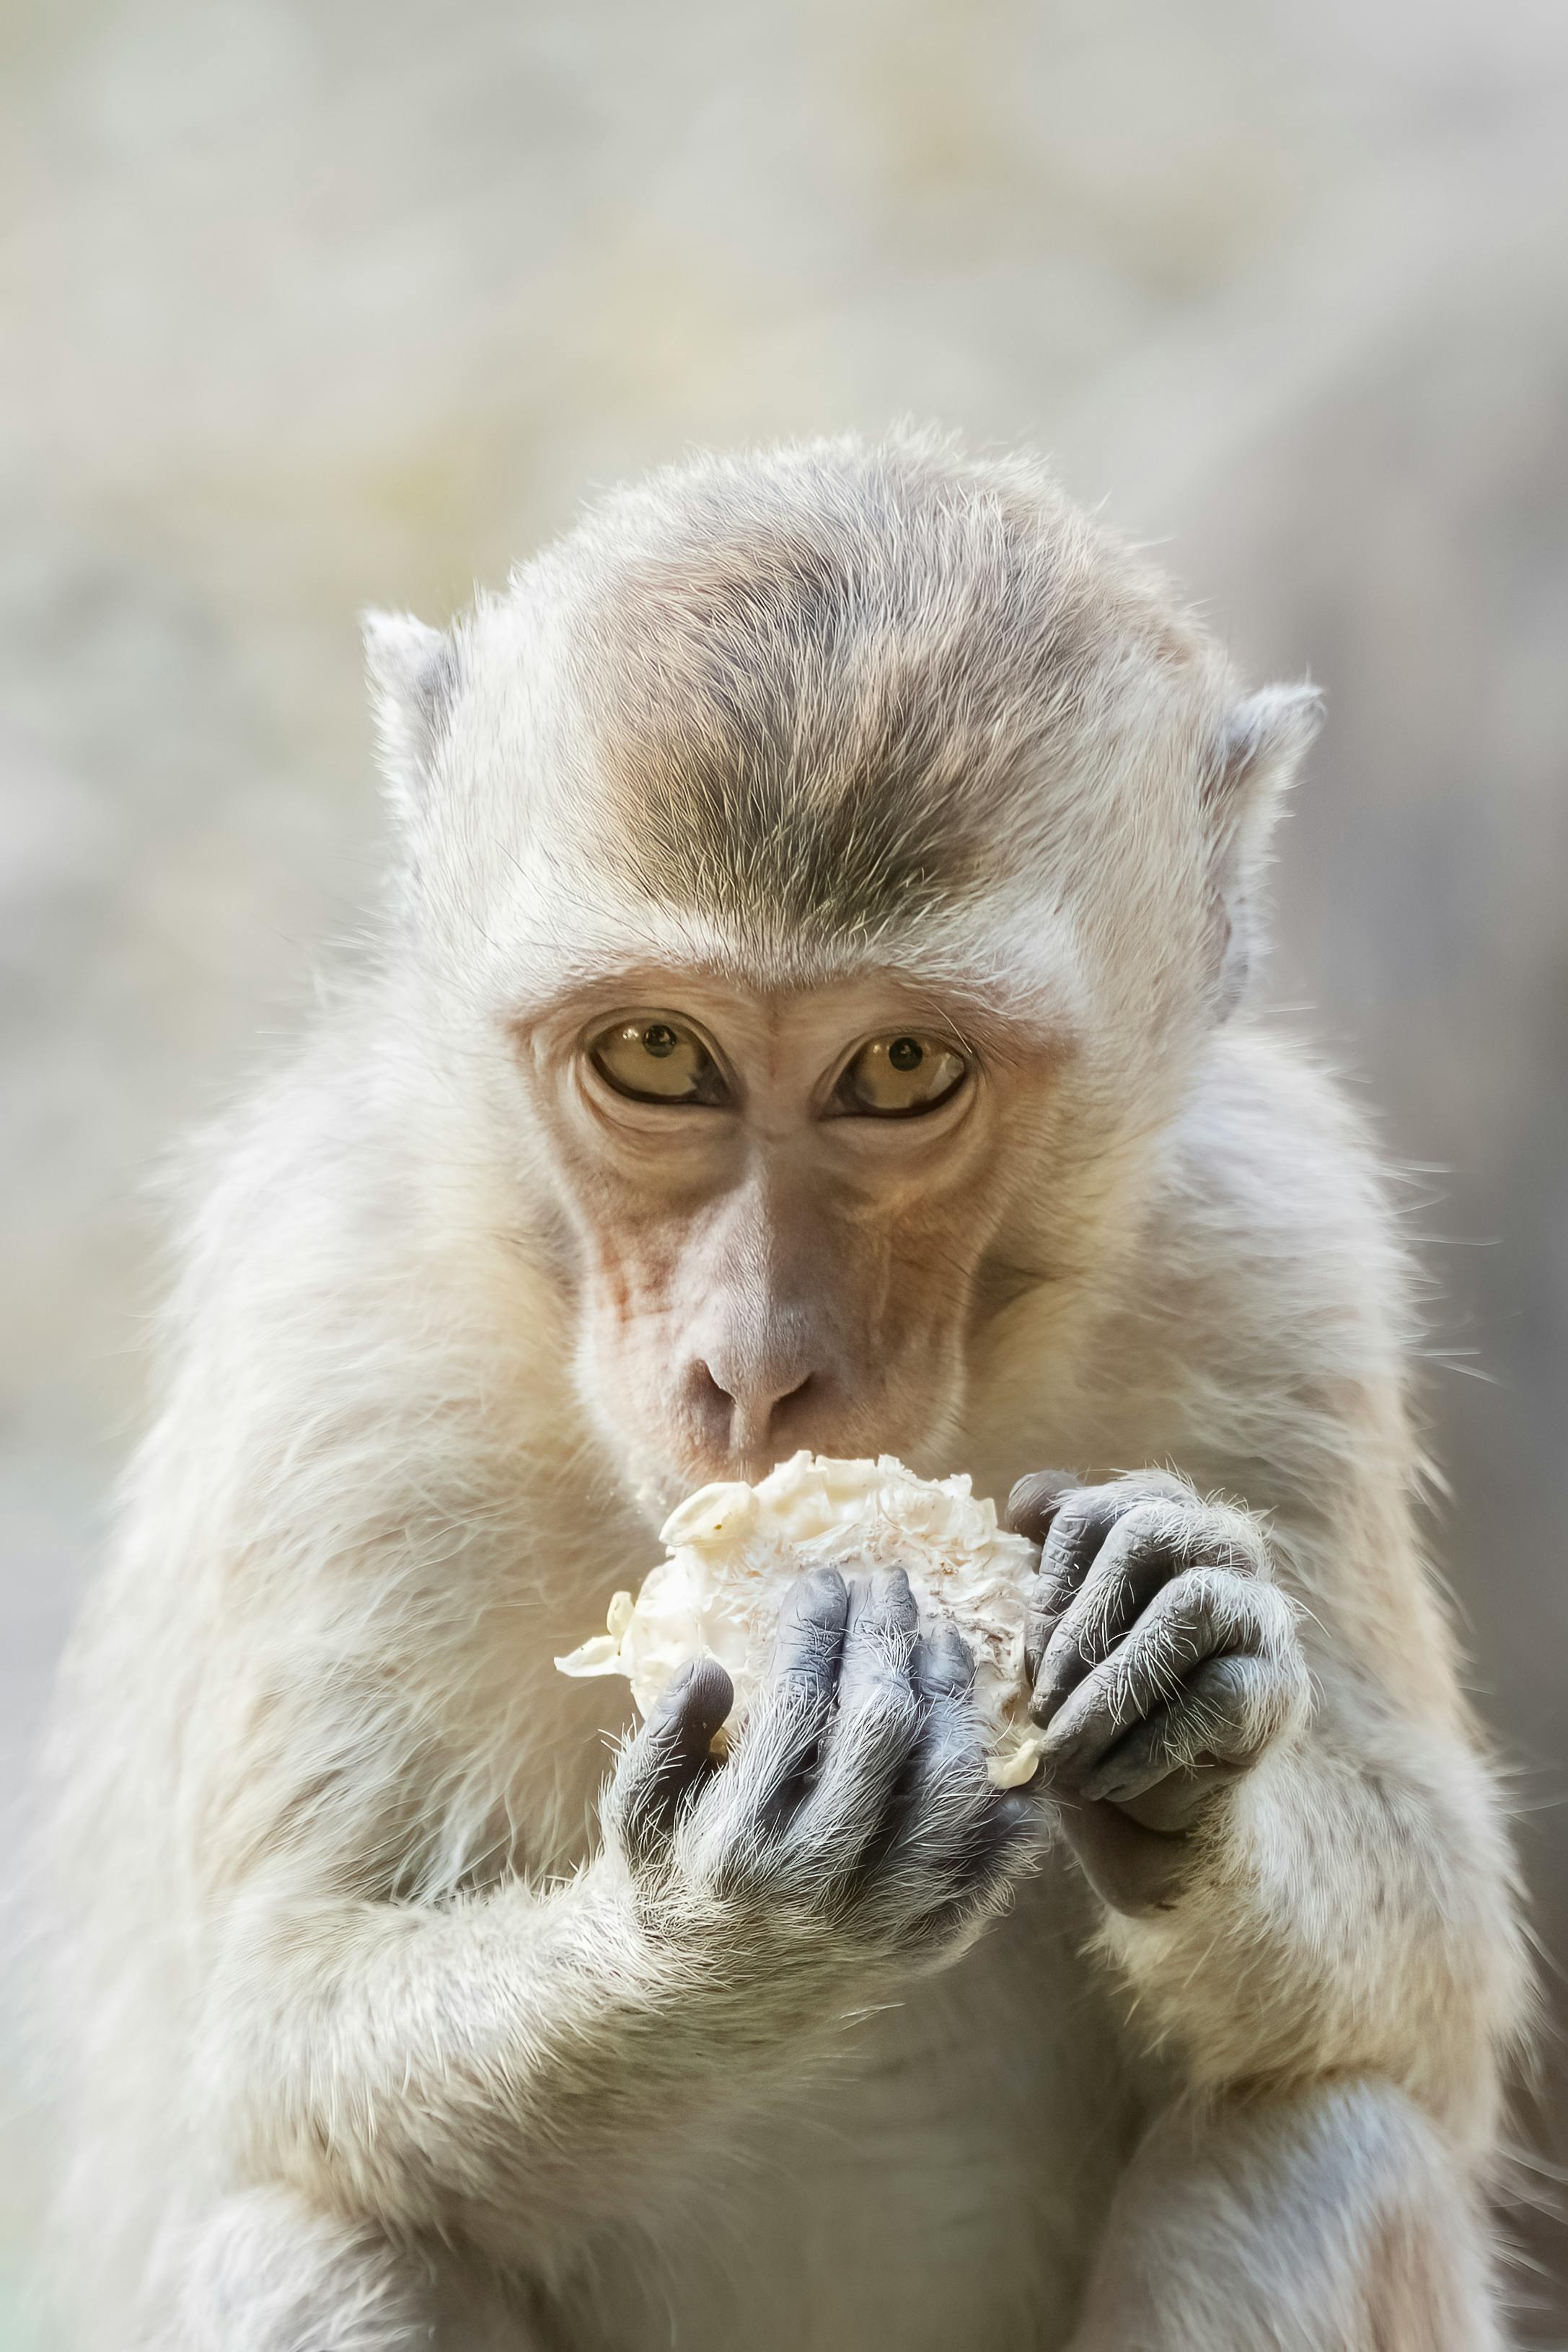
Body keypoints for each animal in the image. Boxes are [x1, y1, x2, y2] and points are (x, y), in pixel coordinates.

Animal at [42, 431, 1527, 2351]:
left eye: (897, 1067)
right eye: (654, 1053)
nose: (750, 1364)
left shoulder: (1287, 1268)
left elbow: (1434, 1979)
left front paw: (1189, 1680)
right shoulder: (325, 1331)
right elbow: (269, 2029)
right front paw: (727, 1925)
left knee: (1320, 2143)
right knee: (310, 2243)